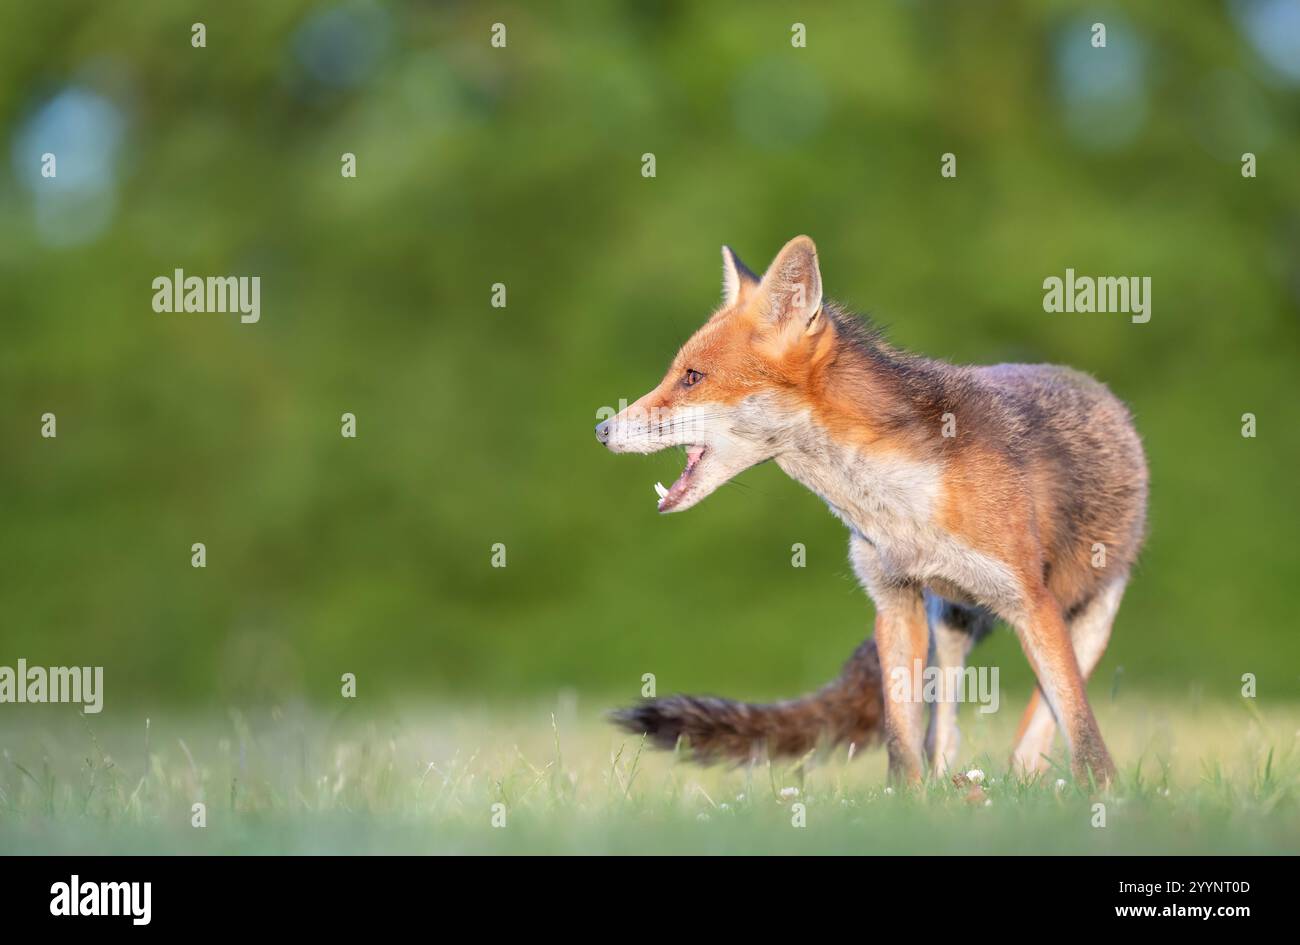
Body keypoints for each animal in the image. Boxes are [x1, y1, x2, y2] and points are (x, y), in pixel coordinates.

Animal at [595, 236, 1148, 786]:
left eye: (692, 377)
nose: (601, 429)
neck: (899, 509)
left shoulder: (1031, 602)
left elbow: (1084, 735)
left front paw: (1105, 798)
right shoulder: (894, 604)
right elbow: (903, 747)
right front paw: (907, 806)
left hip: (1089, 618)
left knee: (1032, 736)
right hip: (950, 623)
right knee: (943, 734)